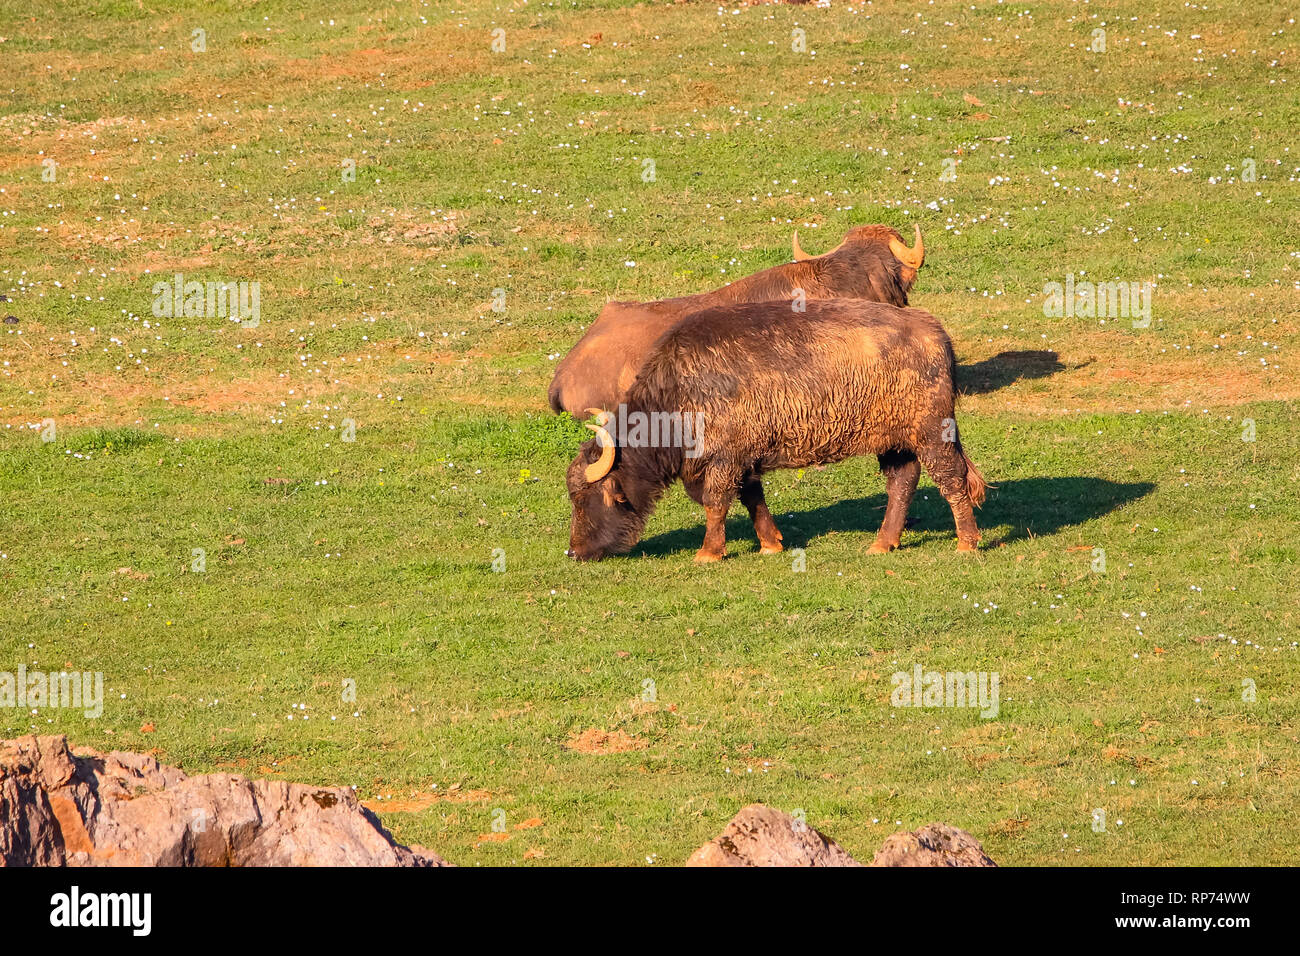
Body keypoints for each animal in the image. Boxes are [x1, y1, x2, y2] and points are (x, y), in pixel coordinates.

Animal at [565, 298, 986, 563]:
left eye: (586, 498)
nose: (575, 552)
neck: (680, 390)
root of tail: (934, 331)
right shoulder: (745, 463)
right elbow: (753, 499)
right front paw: (771, 544)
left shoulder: (724, 461)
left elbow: (717, 502)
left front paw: (708, 553)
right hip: (896, 444)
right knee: (903, 482)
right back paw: (882, 544)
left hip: (932, 437)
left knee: (952, 479)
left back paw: (967, 543)